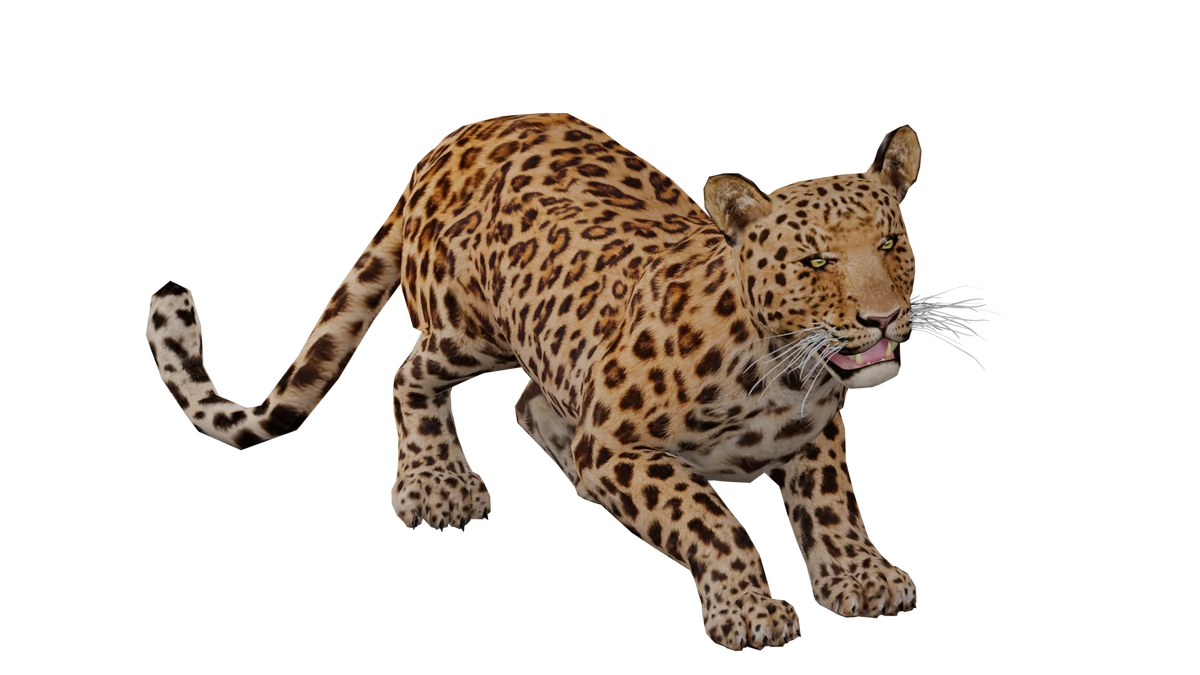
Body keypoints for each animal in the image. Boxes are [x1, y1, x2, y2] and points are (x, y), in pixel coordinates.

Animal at [144, 110, 923, 652]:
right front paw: (752, 613)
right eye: (816, 261)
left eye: (890, 243)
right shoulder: (617, 442)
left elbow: (832, 501)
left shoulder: (817, 423)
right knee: (408, 373)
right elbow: (711, 519)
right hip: (470, 329)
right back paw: (435, 487)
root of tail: (452, 140)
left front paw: (863, 578)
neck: (780, 372)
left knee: (527, 403)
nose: (882, 319)